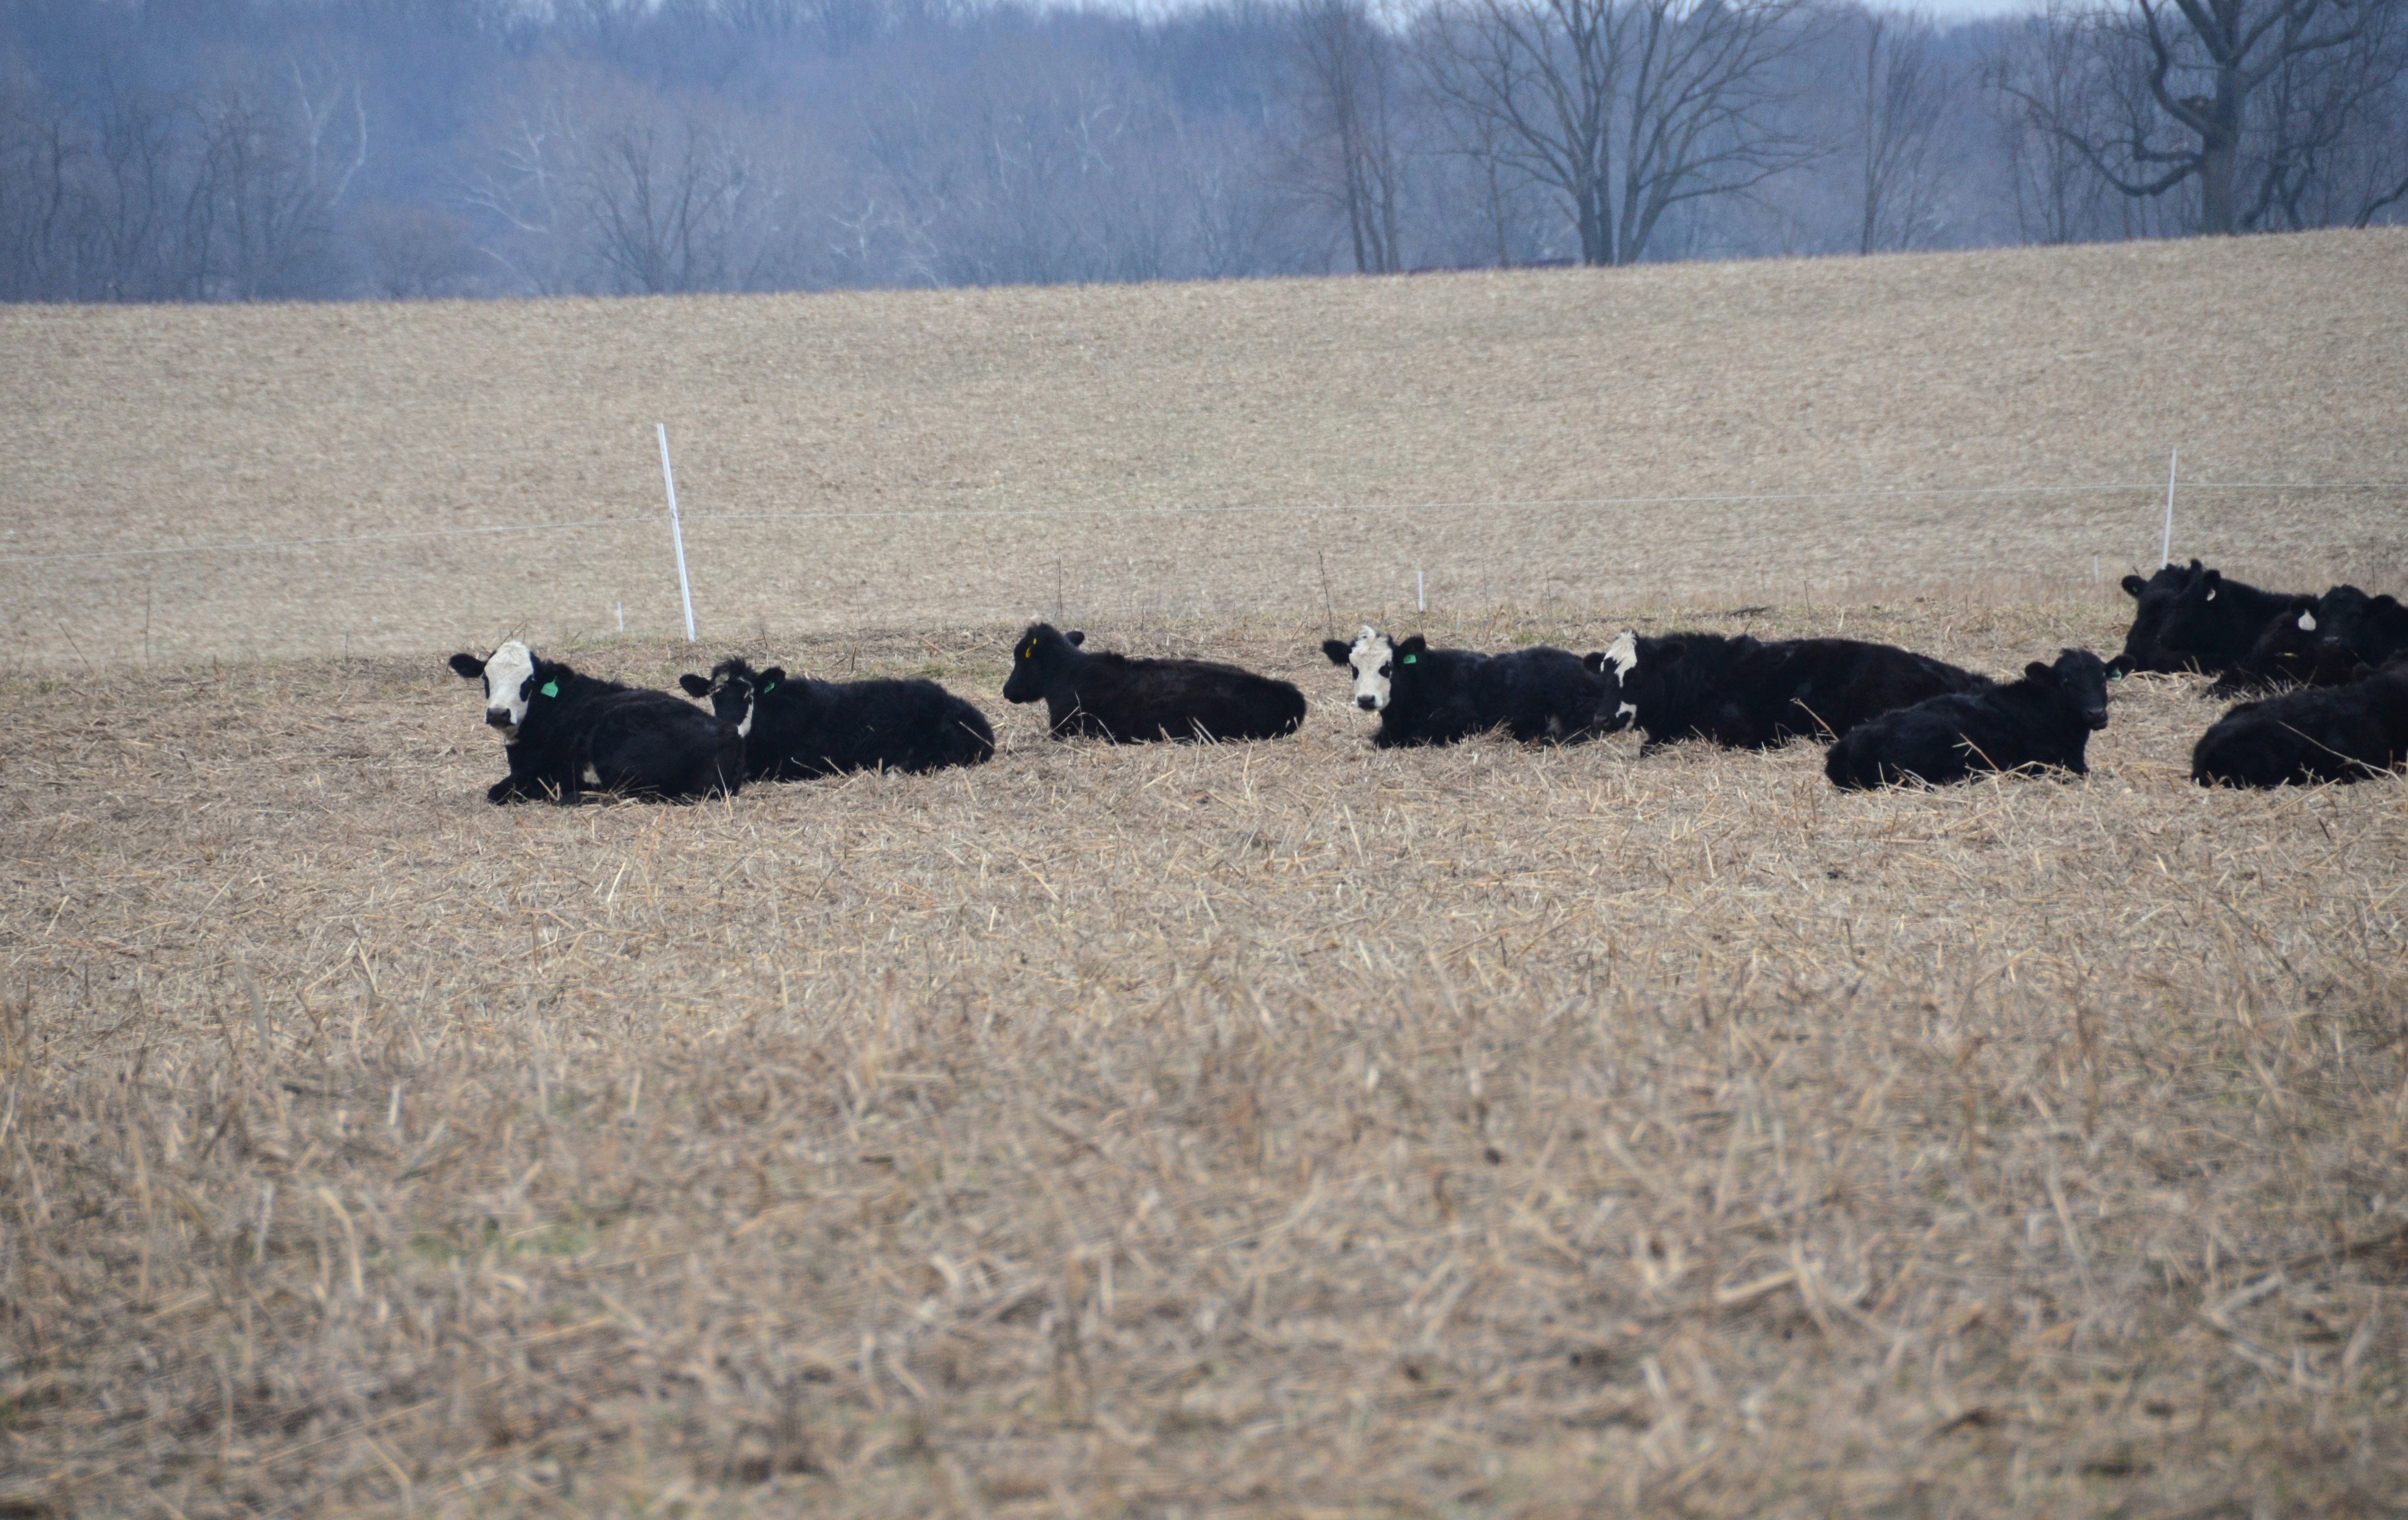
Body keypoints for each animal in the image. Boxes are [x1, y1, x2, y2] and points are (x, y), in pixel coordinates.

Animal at [448, 640, 745, 804]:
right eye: (486, 678)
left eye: (529, 682)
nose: (499, 713)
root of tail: (727, 732)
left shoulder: (536, 776)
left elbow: (496, 792)